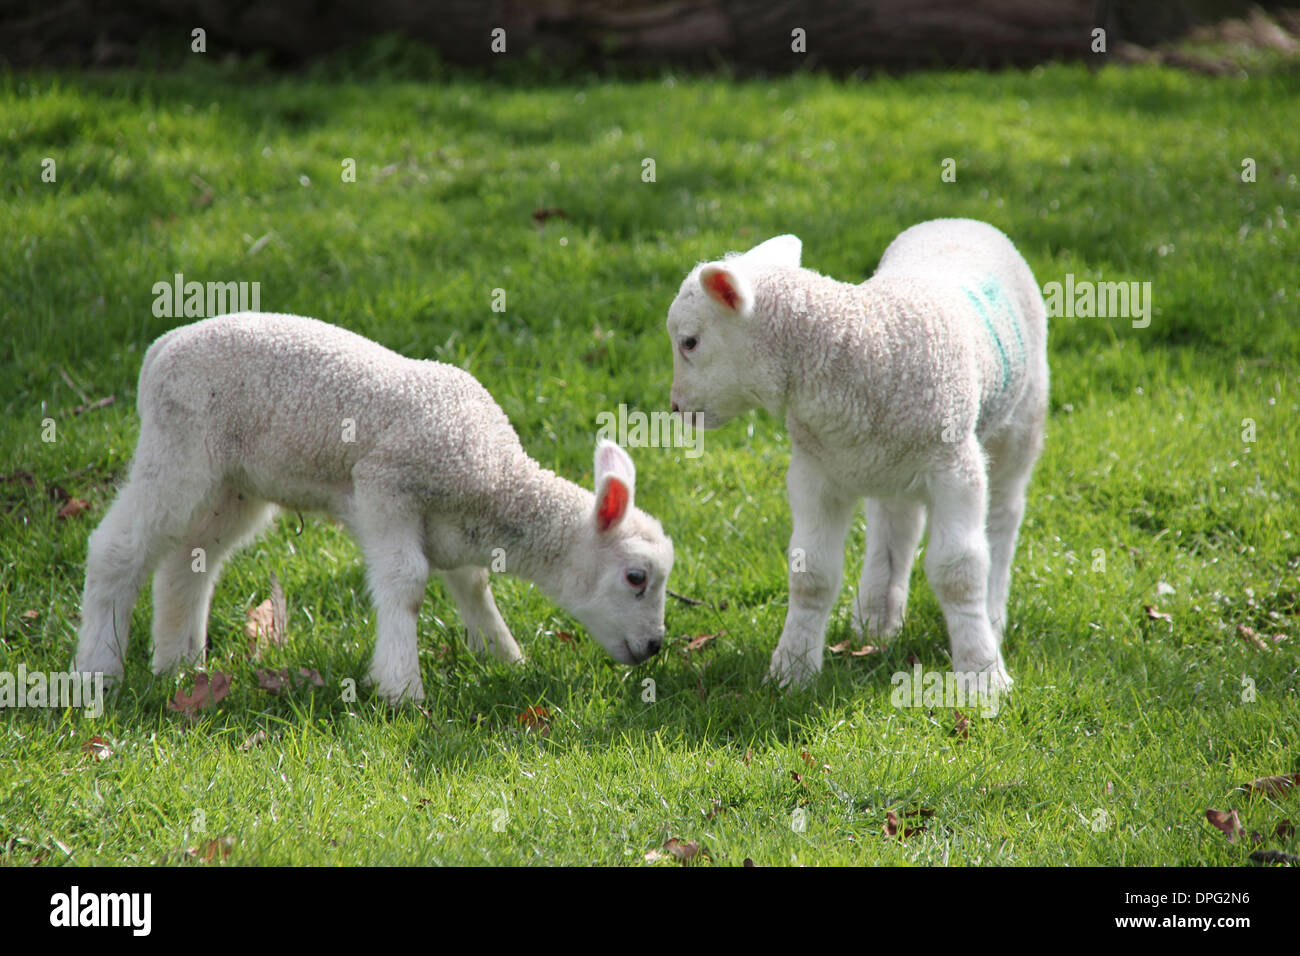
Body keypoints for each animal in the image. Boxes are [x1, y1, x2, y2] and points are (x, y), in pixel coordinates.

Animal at [75, 312, 674, 702]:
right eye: (636, 577)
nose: (654, 648)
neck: (493, 480)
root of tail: (160, 348)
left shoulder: (451, 528)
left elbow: (473, 585)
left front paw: (504, 656)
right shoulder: (386, 486)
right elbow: (406, 584)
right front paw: (402, 689)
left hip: (233, 483)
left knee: (190, 561)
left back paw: (178, 665)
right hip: (179, 447)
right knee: (118, 549)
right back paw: (98, 672)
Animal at [666, 219, 1048, 694]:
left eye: (689, 342)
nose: (676, 408)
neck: (861, 345)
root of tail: (961, 221)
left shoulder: (955, 467)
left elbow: (959, 571)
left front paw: (982, 675)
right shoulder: (813, 472)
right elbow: (811, 574)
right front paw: (791, 671)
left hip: (1020, 420)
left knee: (1004, 516)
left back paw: (992, 617)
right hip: (887, 460)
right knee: (895, 524)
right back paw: (876, 618)